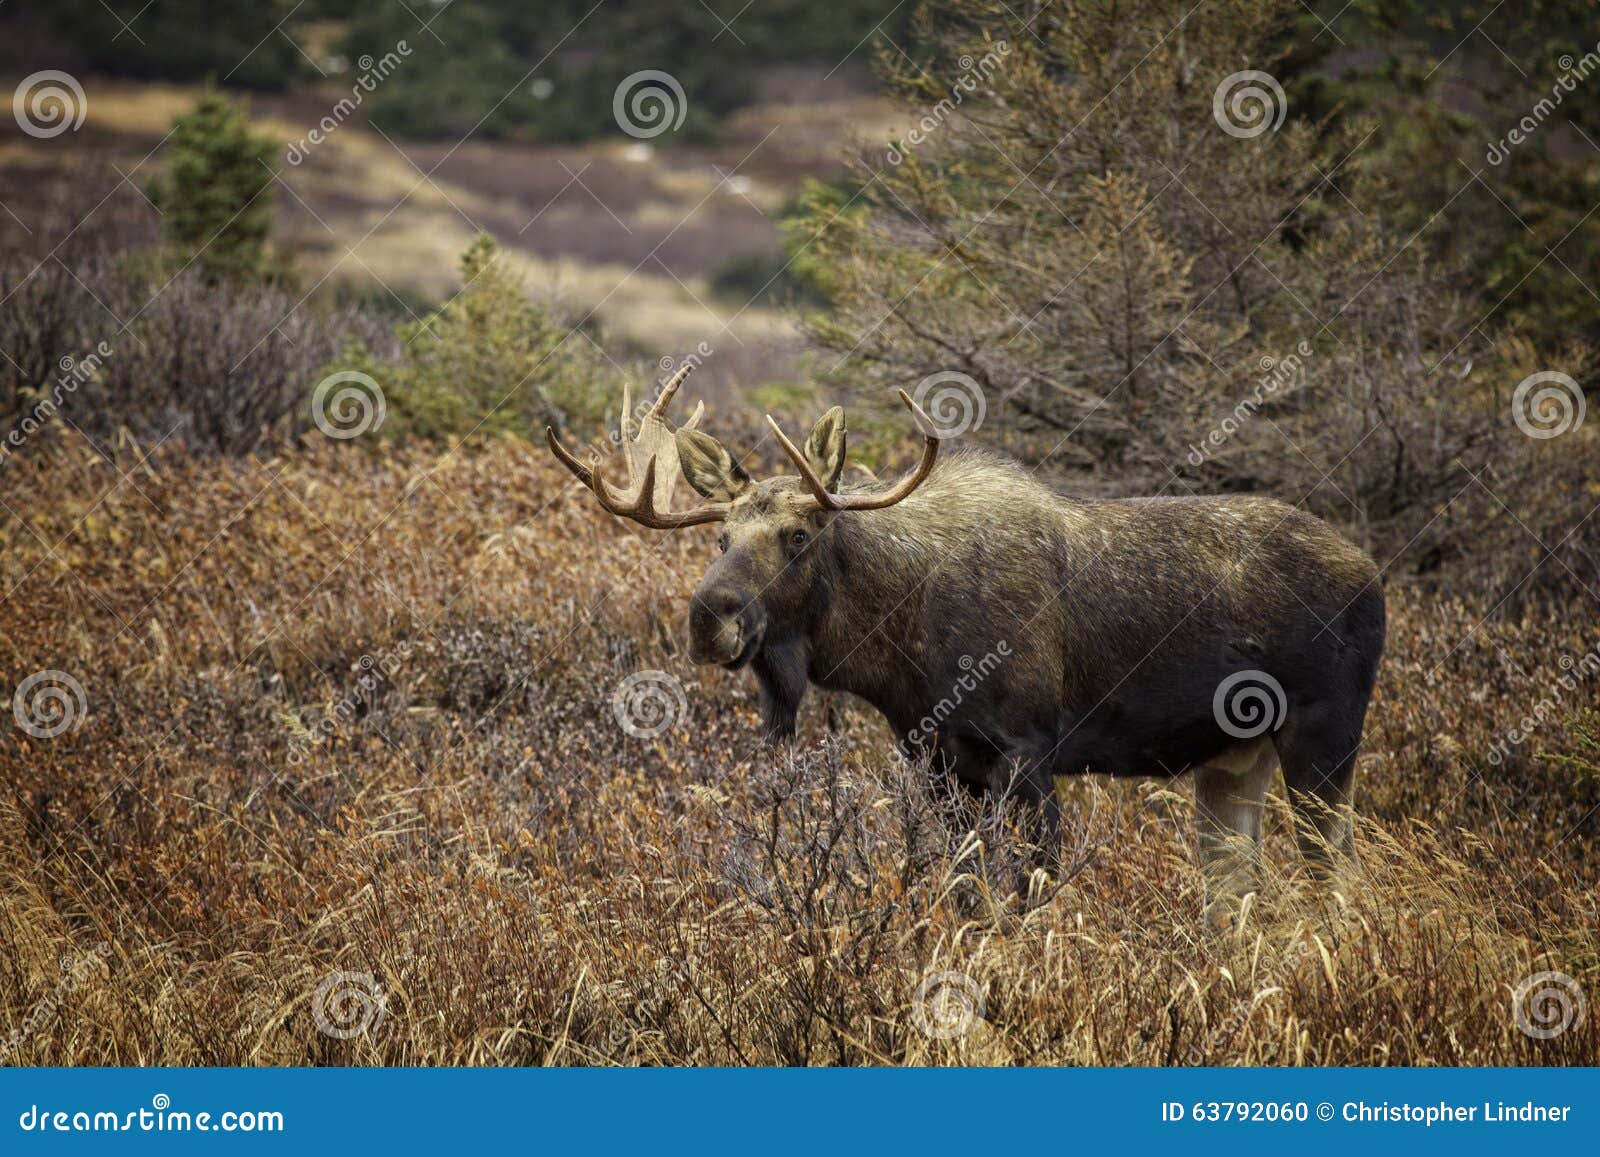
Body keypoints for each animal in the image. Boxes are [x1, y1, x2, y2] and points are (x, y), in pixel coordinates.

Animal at [548, 364, 1386, 924]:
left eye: (796, 534)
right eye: (721, 536)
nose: (708, 618)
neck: (898, 654)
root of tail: (1373, 573)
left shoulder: (1030, 751)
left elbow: (1034, 892)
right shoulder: (936, 762)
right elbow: (967, 895)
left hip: (1323, 738)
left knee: (1336, 876)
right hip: (1232, 762)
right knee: (1236, 899)